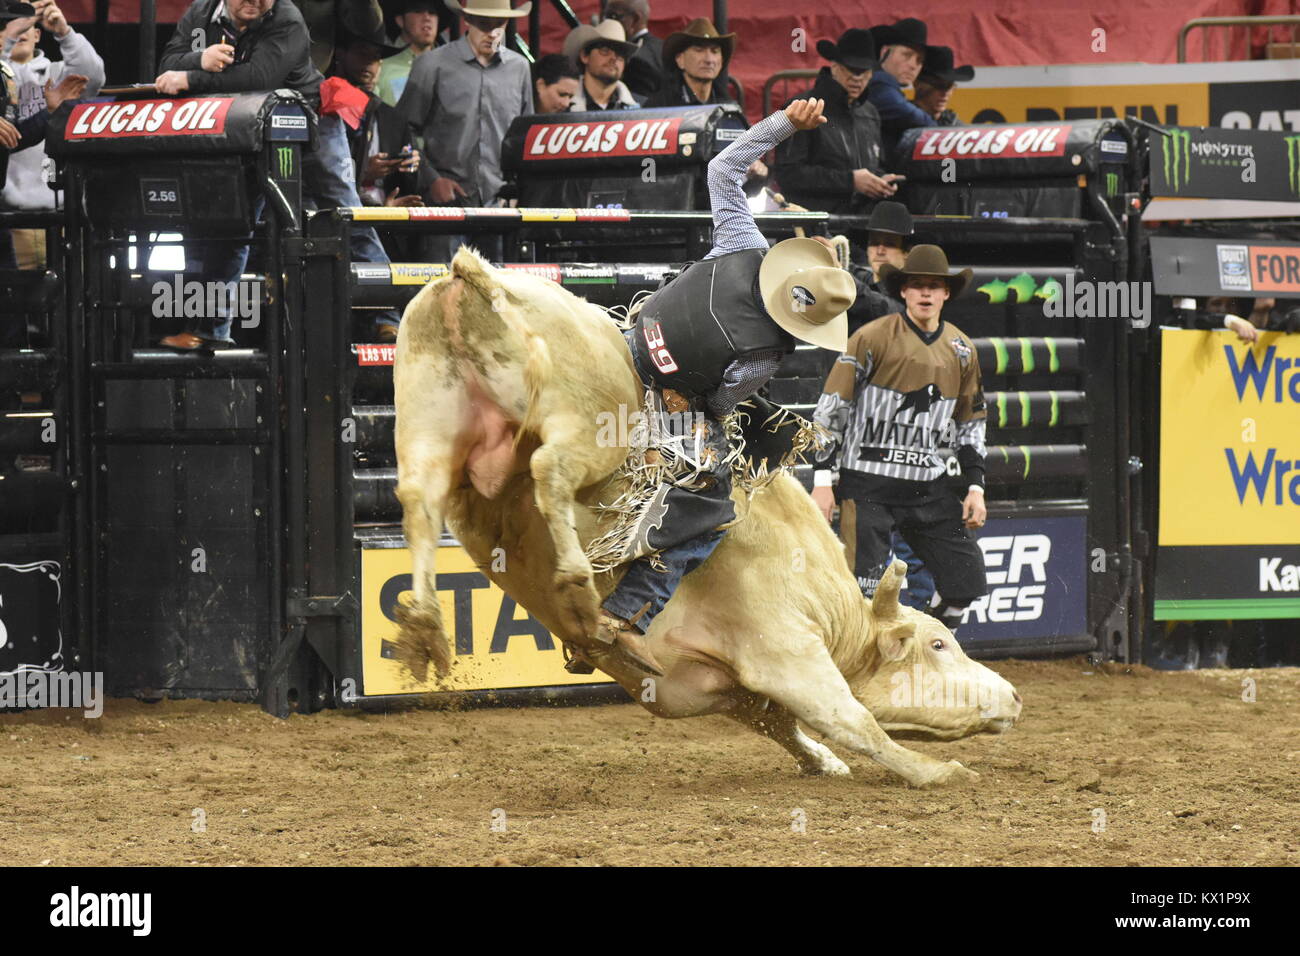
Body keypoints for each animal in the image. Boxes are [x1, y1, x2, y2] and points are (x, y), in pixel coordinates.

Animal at [392, 248, 1021, 789]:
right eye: (938, 644)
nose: (1015, 697)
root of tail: (476, 277)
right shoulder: (787, 651)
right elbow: (850, 721)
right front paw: (938, 772)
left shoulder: (701, 687)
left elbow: (779, 724)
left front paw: (822, 763)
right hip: (587, 427)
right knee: (549, 470)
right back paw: (576, 588)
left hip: (429, 424)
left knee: (419, 505)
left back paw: (425, 628)